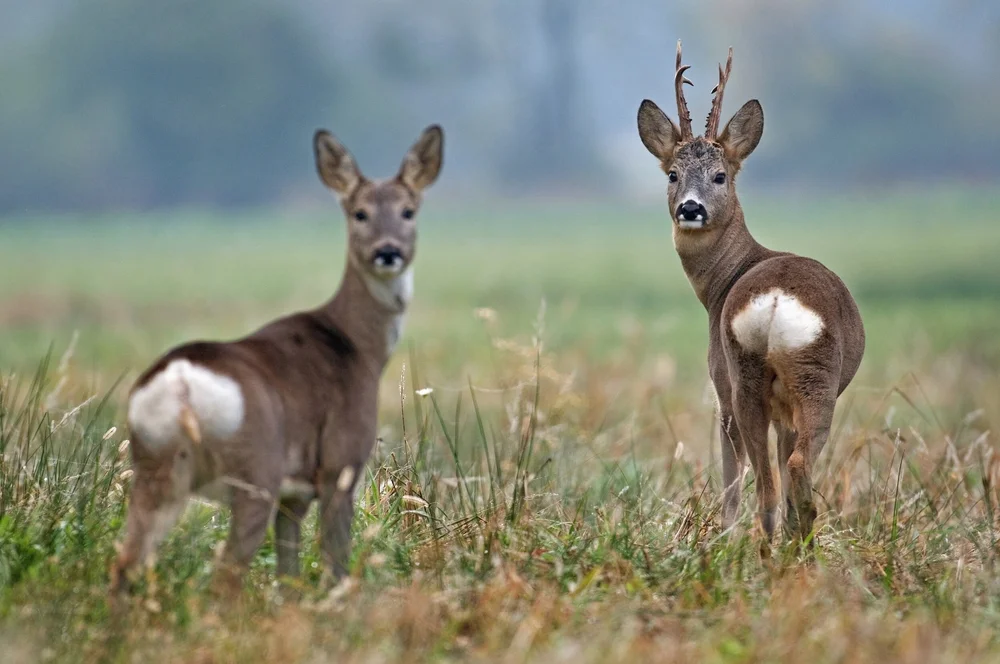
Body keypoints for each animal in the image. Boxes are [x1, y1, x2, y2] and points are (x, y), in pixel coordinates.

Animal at [110, 124, 444, 594]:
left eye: (408, 211)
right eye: (359, 213)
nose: (388, 252)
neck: (357, 345)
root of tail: (180, 380)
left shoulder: (293, 494)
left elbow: (288, 575)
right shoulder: (340, 463)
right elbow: (335, 564)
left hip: (155, 466)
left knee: (125, 563)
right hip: (256, 470)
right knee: (226, 573)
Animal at [636, 42, 864, 545]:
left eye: (720, 175)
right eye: (673, 174)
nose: (690, 209)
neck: (721, 285)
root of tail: (776, 302)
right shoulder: (723, 382)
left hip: (757, 380)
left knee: (770, 477)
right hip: (798, 380)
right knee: (783, 472)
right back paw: (788, 547)